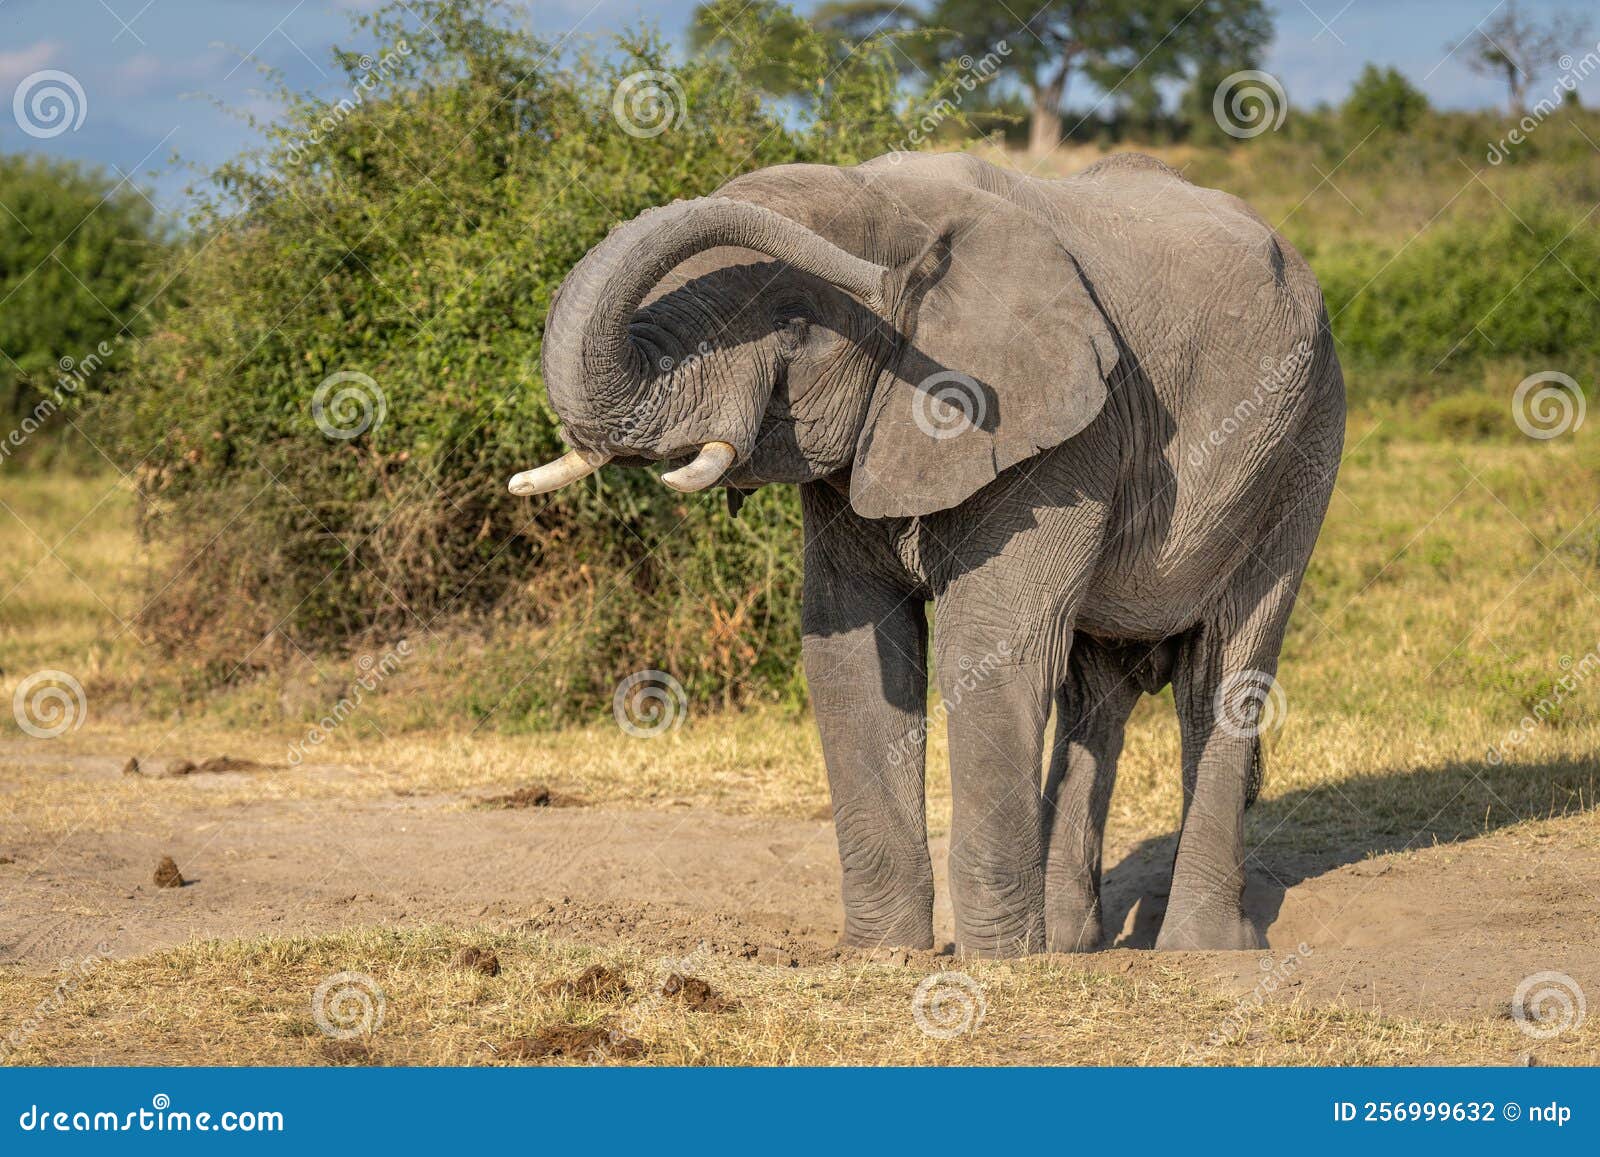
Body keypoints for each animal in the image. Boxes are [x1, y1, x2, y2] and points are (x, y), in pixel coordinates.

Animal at [510, 150, 1344, 955]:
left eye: (795, 323)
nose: (884, 277)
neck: (889, 193)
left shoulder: (1066, 432)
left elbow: (989, 650)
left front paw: (998, 964)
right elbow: (849, 655)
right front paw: (886, 954)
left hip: (1302, 443)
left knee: (1222, 671)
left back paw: (1201, 950)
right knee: (1095, 692)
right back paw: (1073, 944)